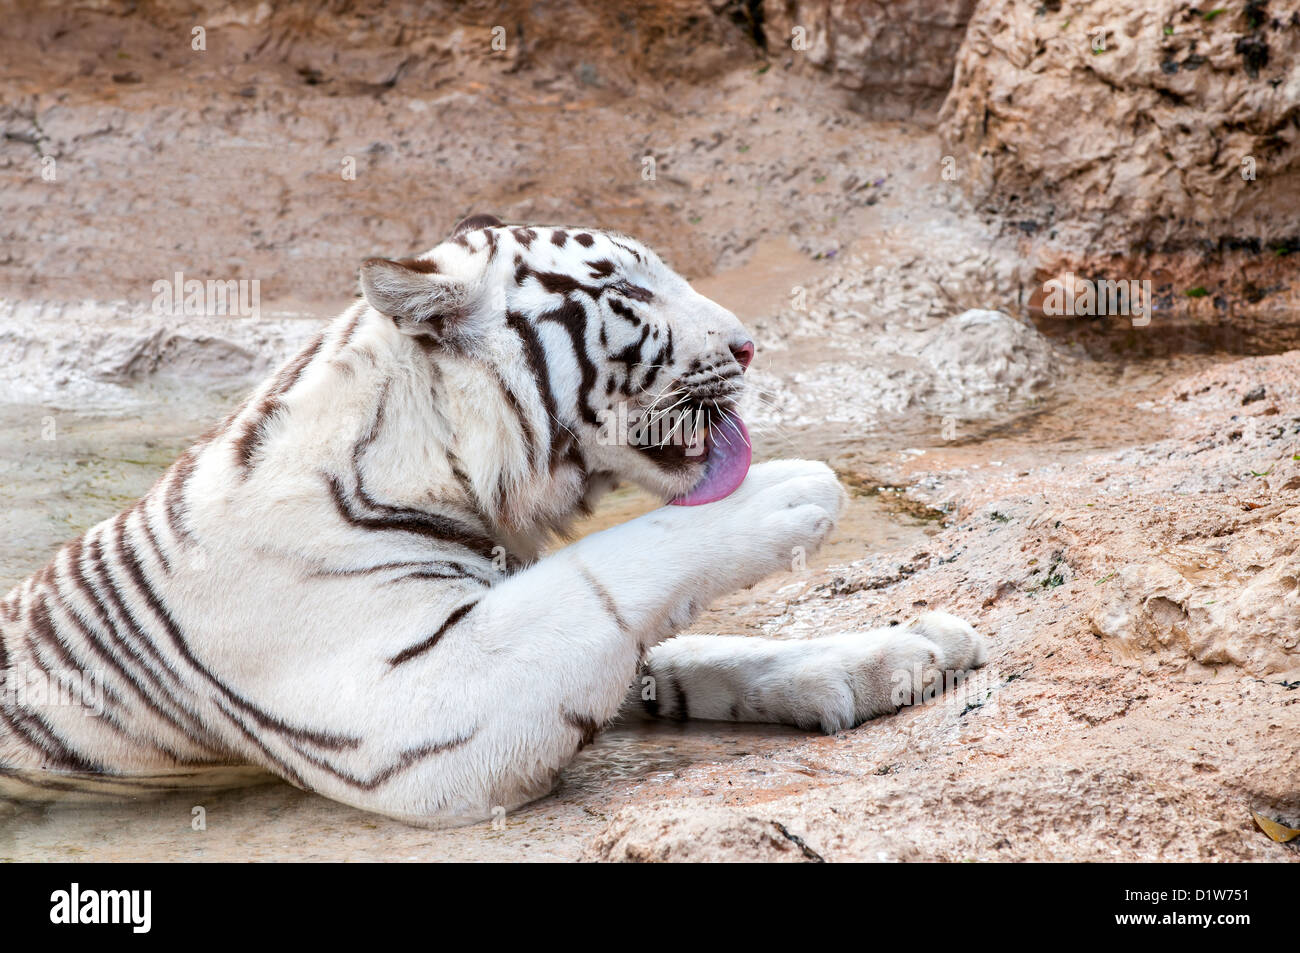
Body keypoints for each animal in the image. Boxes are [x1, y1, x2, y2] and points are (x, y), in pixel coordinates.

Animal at [0, 214, 987, 826]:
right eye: (628, 288)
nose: (750, 343)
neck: (453, 475)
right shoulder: (426, 711)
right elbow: (609, 572)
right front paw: (791, 486)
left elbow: (698, 653)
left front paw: (905, 651)